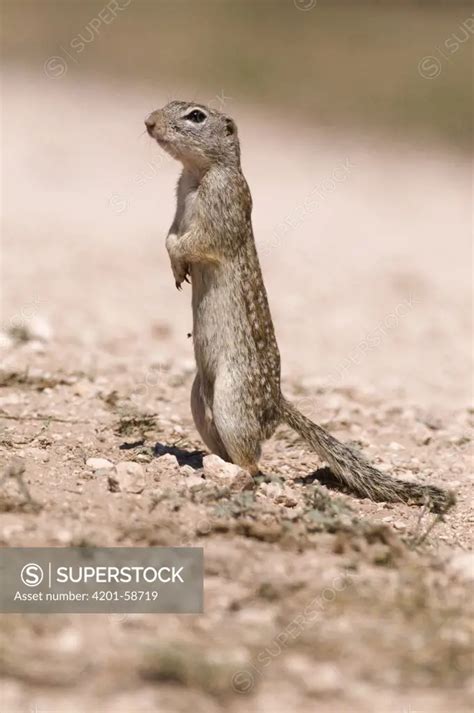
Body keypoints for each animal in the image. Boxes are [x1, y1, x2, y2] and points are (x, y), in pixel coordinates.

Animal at [145, 100, 454, 513]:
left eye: (196, 116)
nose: (149, 122)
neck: (197, 174)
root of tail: (276, 404)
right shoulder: (179, 201)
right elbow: (169, 236)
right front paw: (176, 269)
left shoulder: (222, 209)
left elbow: (196, 241)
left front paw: (180, 259)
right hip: (199, 401)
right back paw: (203, 462)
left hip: (233, 400)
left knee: (252, 461)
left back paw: (229, 478)